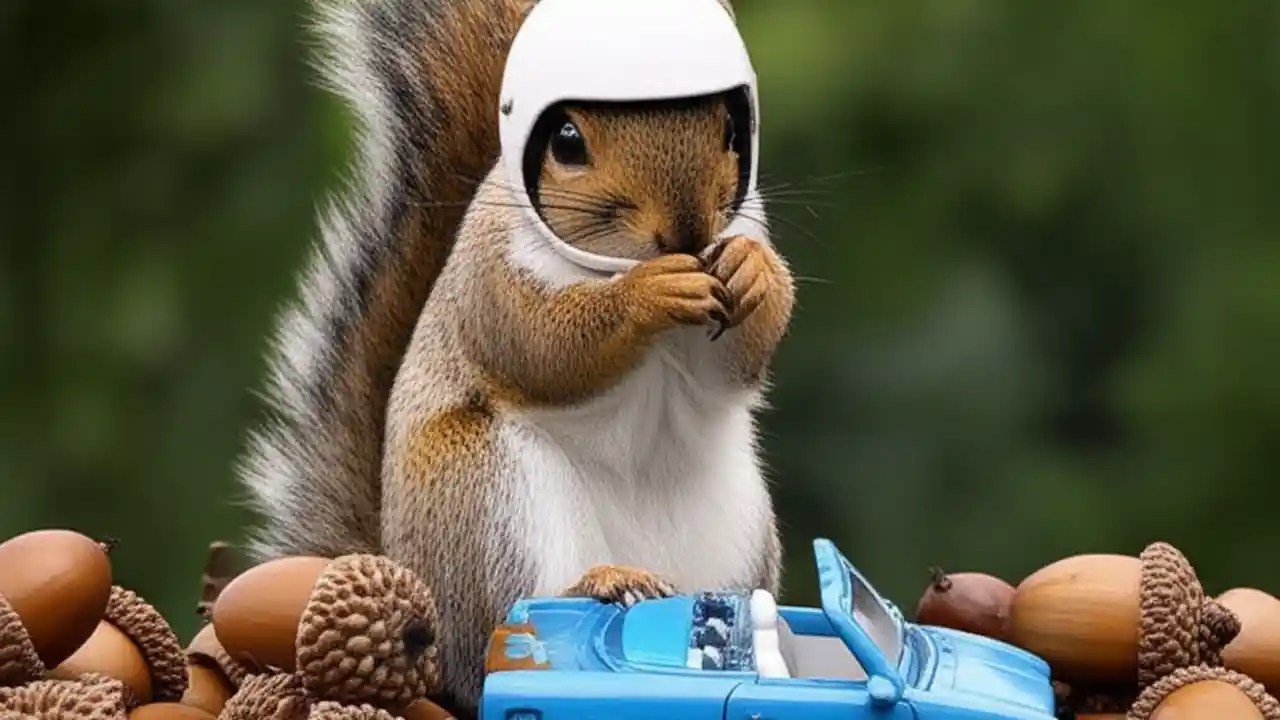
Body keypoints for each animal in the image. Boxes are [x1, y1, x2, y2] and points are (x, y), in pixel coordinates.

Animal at [237, 0, 794, 713]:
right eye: (567, 143)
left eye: (730, 128)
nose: (689, 232)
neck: (615, 260)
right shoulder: (492, 272)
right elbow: (543, 346)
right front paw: (649, 293)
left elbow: (734, 365)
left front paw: (754, 273)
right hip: (485, 498)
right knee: (504, 631)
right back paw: (599, 584)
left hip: (737, 530)